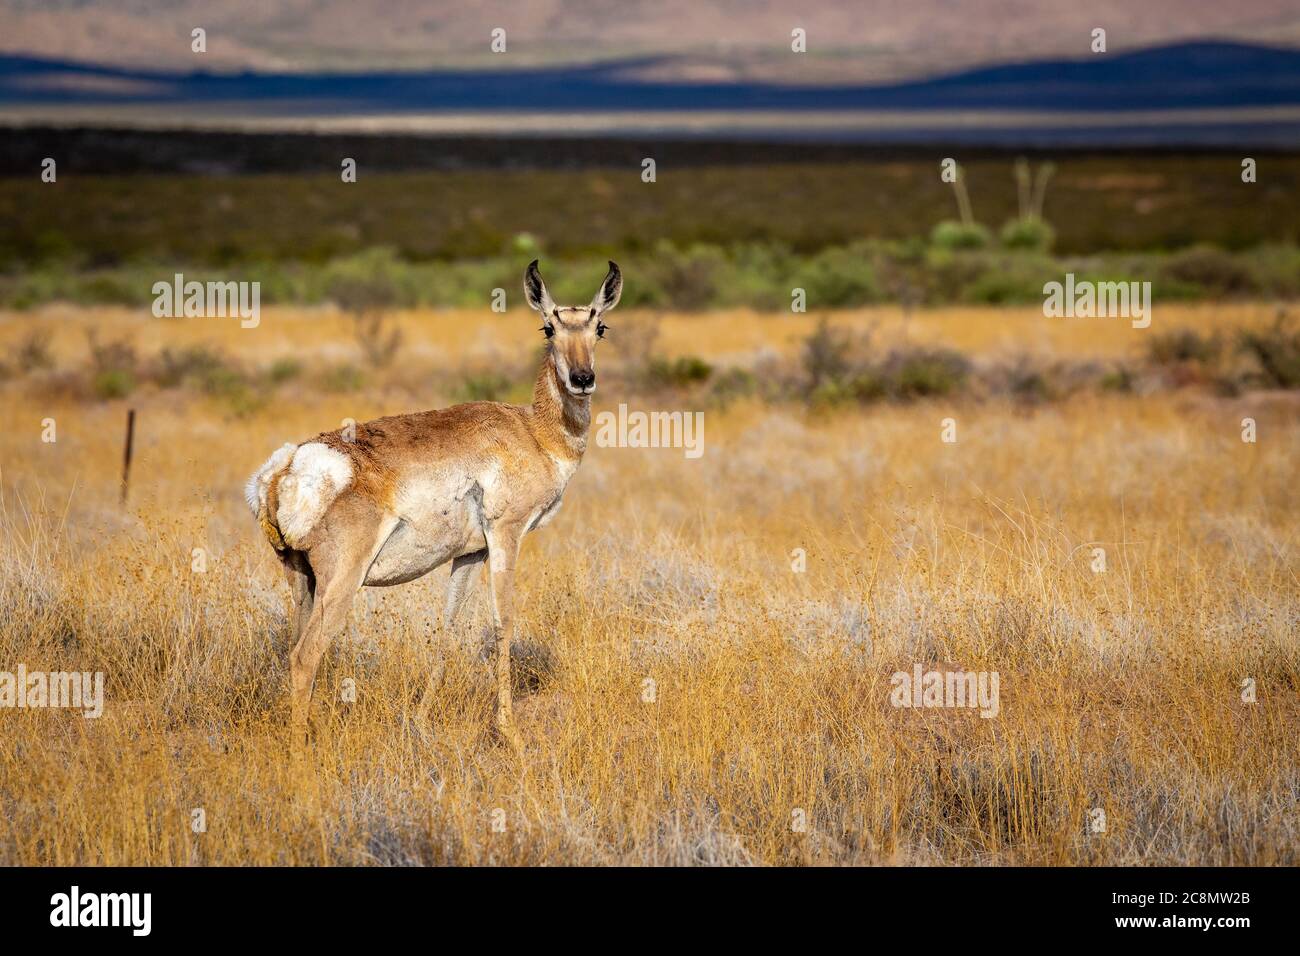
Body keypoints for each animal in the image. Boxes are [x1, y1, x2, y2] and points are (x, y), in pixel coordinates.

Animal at [244, 260, 621, 742]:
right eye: (548, 327)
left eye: (600, 326)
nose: (582, 379)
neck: (534, 432)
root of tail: (287, 465)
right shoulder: (506, 535)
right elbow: (503, 623)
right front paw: (510, 731)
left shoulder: (471, 553)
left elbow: (449, 623)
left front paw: (421, 721)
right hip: (341, 582)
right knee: (304, 656)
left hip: (301, 582)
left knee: (294, 648)